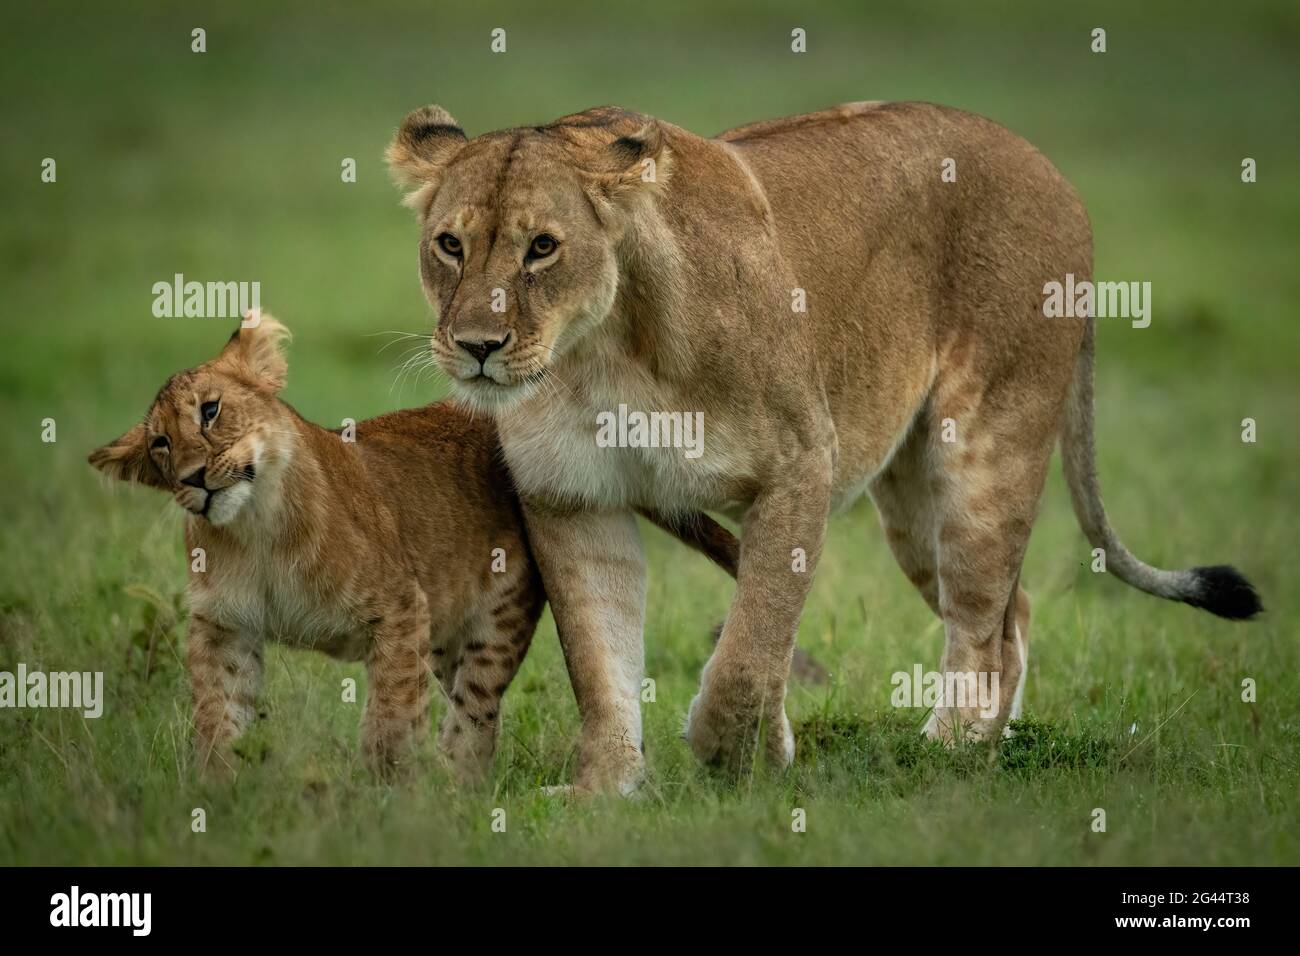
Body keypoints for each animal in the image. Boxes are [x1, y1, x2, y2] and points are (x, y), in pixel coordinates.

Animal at [89, 312, 739, 780]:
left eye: (211, 409)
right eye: (160, 445)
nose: (194, 478)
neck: (255, 532)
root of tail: (486, 414)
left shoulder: (399, 607)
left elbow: (392, 714)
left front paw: (388, 795)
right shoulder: (224, 627)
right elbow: (218, 713)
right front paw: (217, 792)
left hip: (494, 614)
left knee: (477, 711)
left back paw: (453, 787)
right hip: (446, 632)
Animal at [387, 102, 1262, 793]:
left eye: (542, 246)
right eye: (450, 245)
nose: (477, 347)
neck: (600, 352)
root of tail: (1048, 166)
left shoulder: (800, 465)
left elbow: (751, 645)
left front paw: (735, 754)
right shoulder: (572, 498)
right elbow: (602, 666)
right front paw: (605, 791)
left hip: (986, 453)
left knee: (982, 626)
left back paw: (949, 753)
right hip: (911, 505)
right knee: (1011, 615)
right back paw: (986, 744)